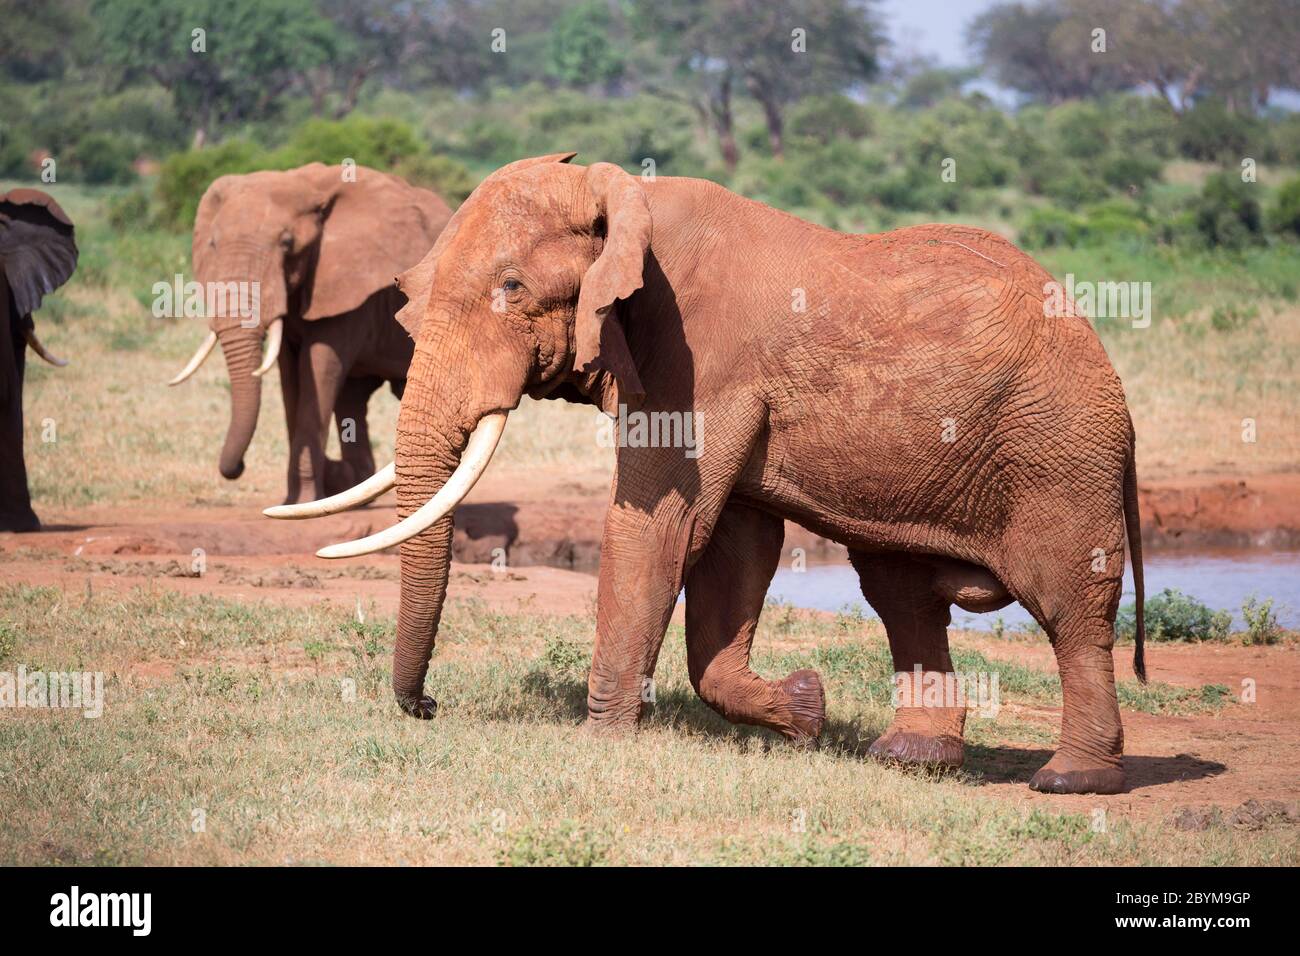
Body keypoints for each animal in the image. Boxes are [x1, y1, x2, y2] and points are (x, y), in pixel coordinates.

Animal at [167, 163, 451, 504]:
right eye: (212, 245)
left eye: (287, 243)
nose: (238, 467)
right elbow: (291, 377)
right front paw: (295, 501)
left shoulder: (349, 286)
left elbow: (318, 366)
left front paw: (303, 500)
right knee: (352, 398)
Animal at [277, 153, 1148, 796]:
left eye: (512, 289)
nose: (427, 705)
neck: (624, 197)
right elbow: (734, 543)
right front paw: (803, 713)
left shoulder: (701, 355)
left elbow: (660, 525)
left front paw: (601, 741)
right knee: (901, 594)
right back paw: (908, 759)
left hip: (1059, 449)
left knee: (1067, 600)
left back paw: (1071, 781)